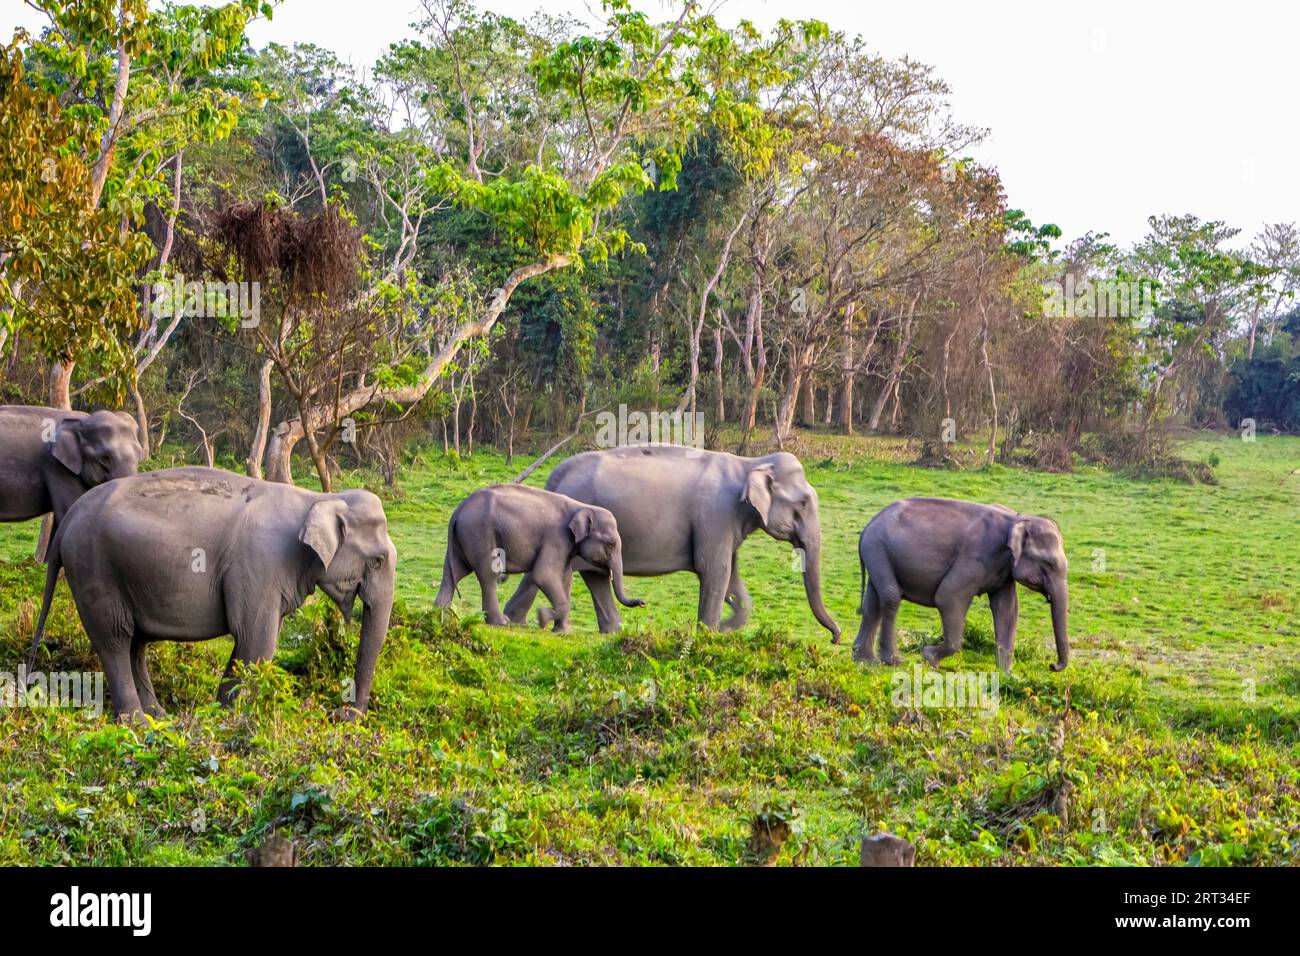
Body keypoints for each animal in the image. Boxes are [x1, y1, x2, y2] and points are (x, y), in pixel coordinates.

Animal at [27, 467, 396, 721]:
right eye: (377, 560)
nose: (340, 714)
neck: (316, 499)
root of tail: (70, 517)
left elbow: (251, 643)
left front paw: (221, 715)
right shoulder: (259, 564)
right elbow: (257, 642)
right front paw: (239, 720)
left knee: (135, 643)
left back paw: (159, 717)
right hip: (94, 569)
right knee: (116, 639)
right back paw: (137, 723)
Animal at [434, 483, 644, 632]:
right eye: (611, 544)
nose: (642, 602)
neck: (582, 506)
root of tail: (458, 510)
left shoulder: (566, 545)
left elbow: (565, 577)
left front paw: (562, 632)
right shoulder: (557, 537)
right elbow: (544, 574)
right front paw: (542, 618)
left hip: (463, 539)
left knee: (453, 574)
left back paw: (438, 617)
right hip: (479, 534)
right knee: (488, 575)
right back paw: (501, 623)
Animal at [502, 446, 841, 641]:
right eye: (802, 504)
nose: (835, 638)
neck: (750, 464)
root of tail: (555, 477)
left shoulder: (725, 524)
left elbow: (731, 575)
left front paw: (726, 626)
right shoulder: (715, 515)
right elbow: (714, 570)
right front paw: (709, 633)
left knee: (593, 575)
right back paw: (519, 622)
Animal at [853, 497, 1069, 672]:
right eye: (1049, 564)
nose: (1052, 666)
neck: (1017, 518)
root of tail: (867, 527)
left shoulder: (1005, 571)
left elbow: (1007, 611)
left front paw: (1006, 675)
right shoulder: (977, 555)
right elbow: (948, 596)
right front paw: (929, 658)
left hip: (877, 553)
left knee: (873, 600)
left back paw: (865, 660)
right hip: (877, 548)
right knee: (891, 597)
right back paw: (894, 661)